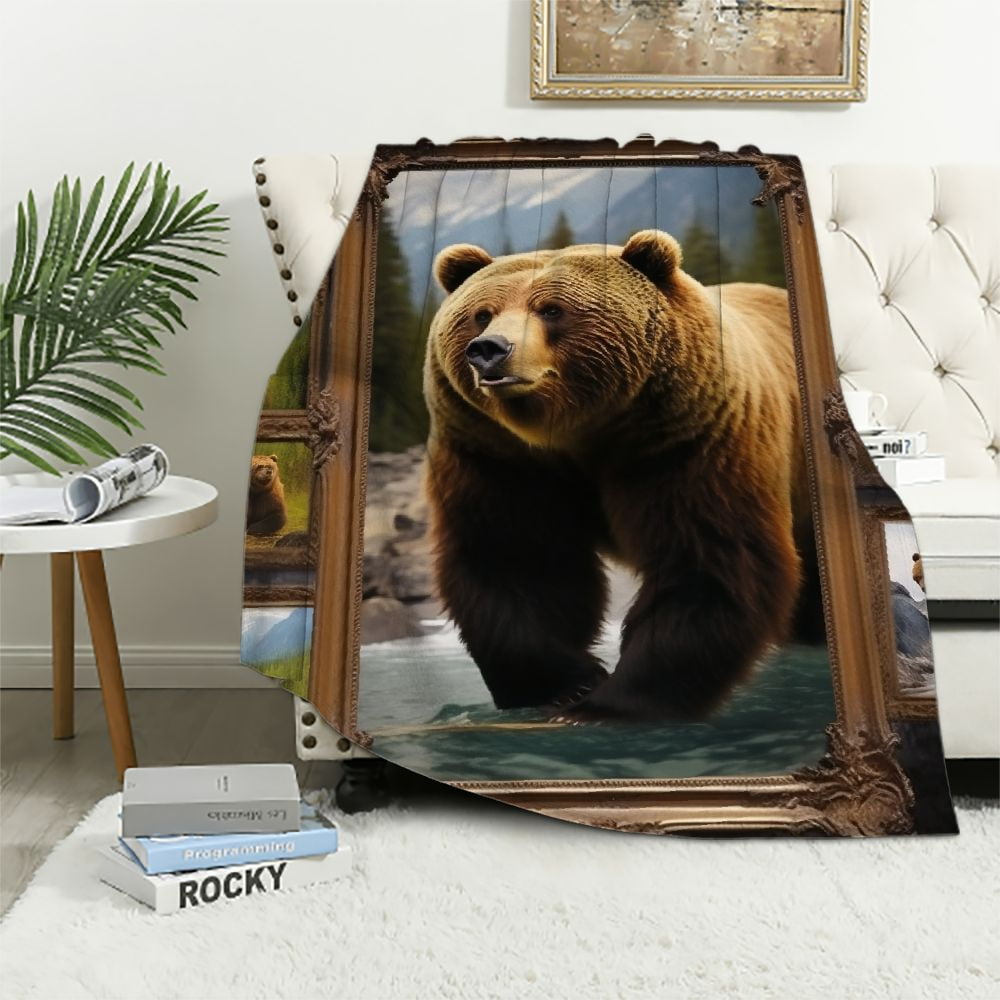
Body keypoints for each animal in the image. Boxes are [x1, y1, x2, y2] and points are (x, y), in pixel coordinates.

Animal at [422, 229, 811, 722]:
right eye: (481, 314)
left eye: (551, 309)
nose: (490, 349)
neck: (580, 433)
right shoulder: (498, 456)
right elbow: (516, 560)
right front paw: (563, 686)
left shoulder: (690, 443)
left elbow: (709, 560)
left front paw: (607, 704)